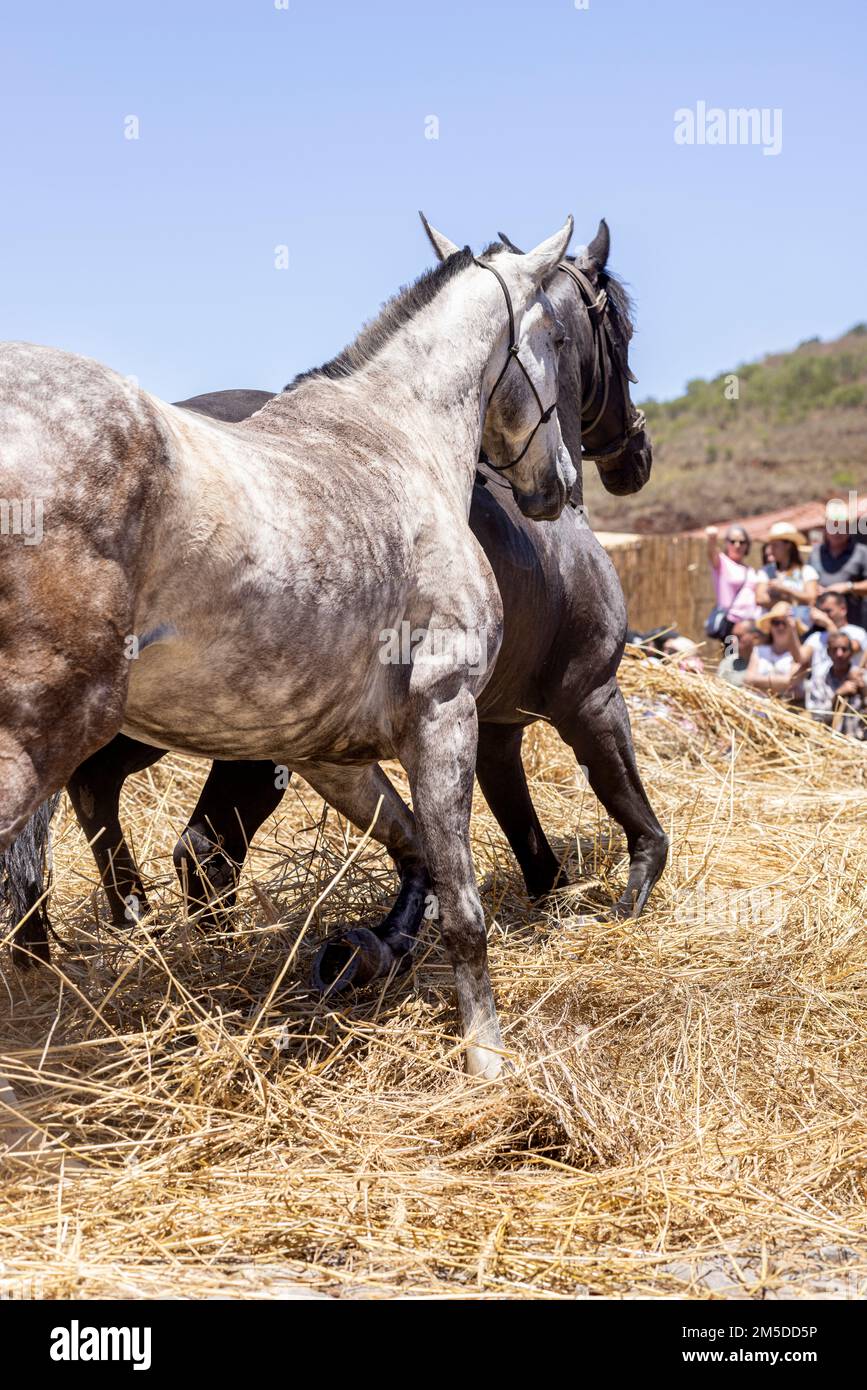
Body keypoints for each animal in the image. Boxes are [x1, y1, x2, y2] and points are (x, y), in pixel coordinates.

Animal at [3, 217, 668, 998]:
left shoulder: (461, 731)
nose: (628, 456)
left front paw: (375, 947)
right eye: (603, 333)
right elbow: (628, 822)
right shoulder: (572, 698)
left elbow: (480, 851)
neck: (399, 437)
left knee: (111, 810)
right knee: (192, 844)